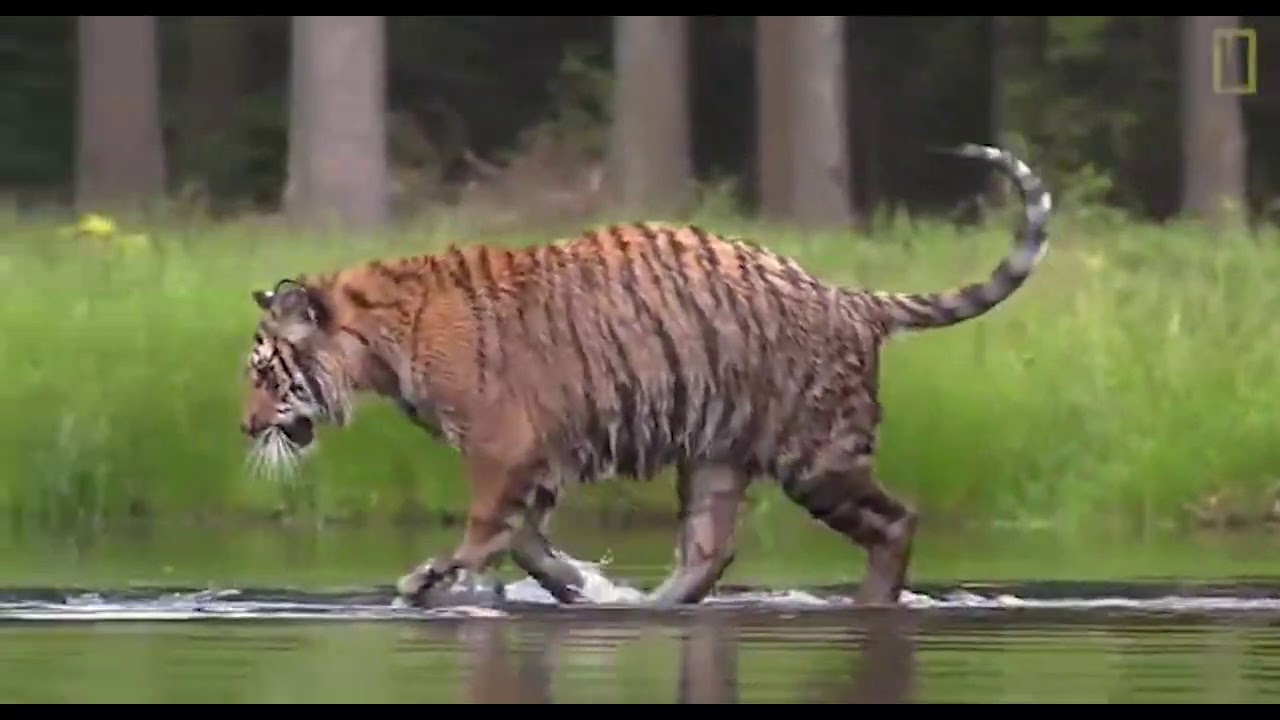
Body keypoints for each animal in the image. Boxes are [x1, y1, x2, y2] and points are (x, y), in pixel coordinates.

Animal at [239, 143, 1053, 609]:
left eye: (266, 374)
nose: (245, 426)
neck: (376, 341)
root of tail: (849, 296)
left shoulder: (502, 449)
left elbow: (483, 532)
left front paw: (424, 582)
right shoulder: (540, 457)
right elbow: (523, 540)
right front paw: (576, 586)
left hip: (816, 455)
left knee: (896, 522)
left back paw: (872, 605)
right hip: (718, 456)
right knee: (710, 550)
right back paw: (652, 606)